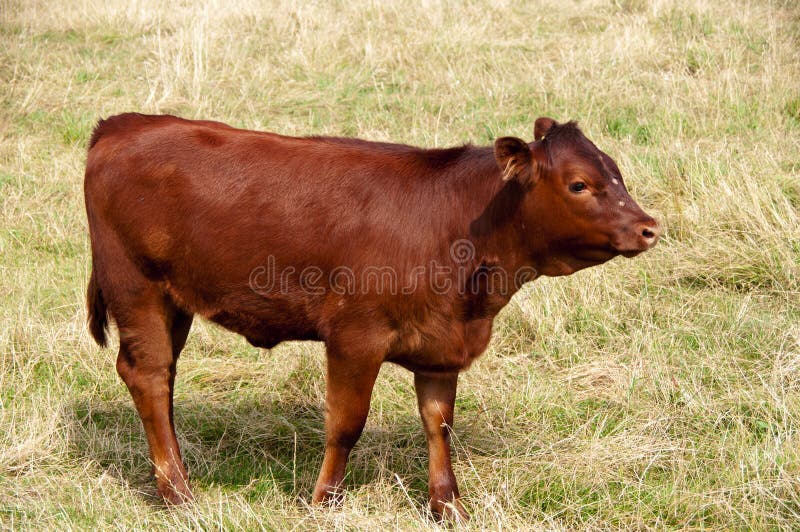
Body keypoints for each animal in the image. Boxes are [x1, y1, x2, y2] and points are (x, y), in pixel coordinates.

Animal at [84, 113, 660, 520]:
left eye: (617, 173)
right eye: (579, 184)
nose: (649, 227)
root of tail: (122, 125)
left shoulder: (441, 345)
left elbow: (439, 424)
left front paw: (448, 506)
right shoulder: (354, 337)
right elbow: (345, 425)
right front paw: (323, 502)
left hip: (173, 299)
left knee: (160, 378)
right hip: (136, 287)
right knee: (149, 376)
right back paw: (179, 492)